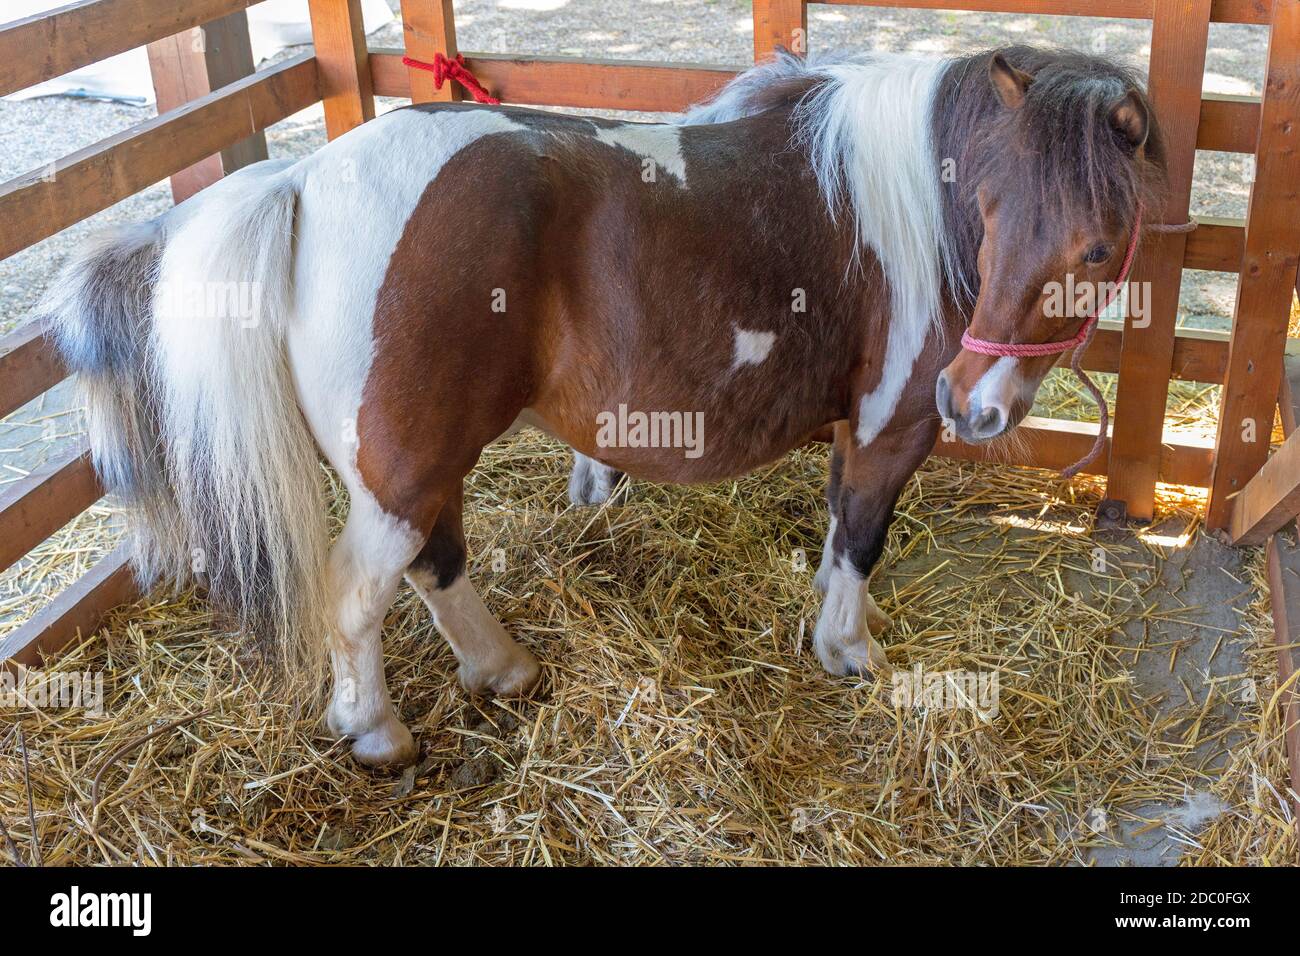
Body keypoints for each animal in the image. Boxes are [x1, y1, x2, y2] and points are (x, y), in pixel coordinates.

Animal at [43, 45, 1165, 767]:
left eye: (1095, 245)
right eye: (987, 210)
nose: (975, 404)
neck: (906, 211)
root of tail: (305, 180)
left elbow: (840, 530)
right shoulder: (892, 427)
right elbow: (858, 537)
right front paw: (847, 649)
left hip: (421, 464)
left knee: (438, 564)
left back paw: (502, 669)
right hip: (400, 473)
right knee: (359, 592)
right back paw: (375, 731)